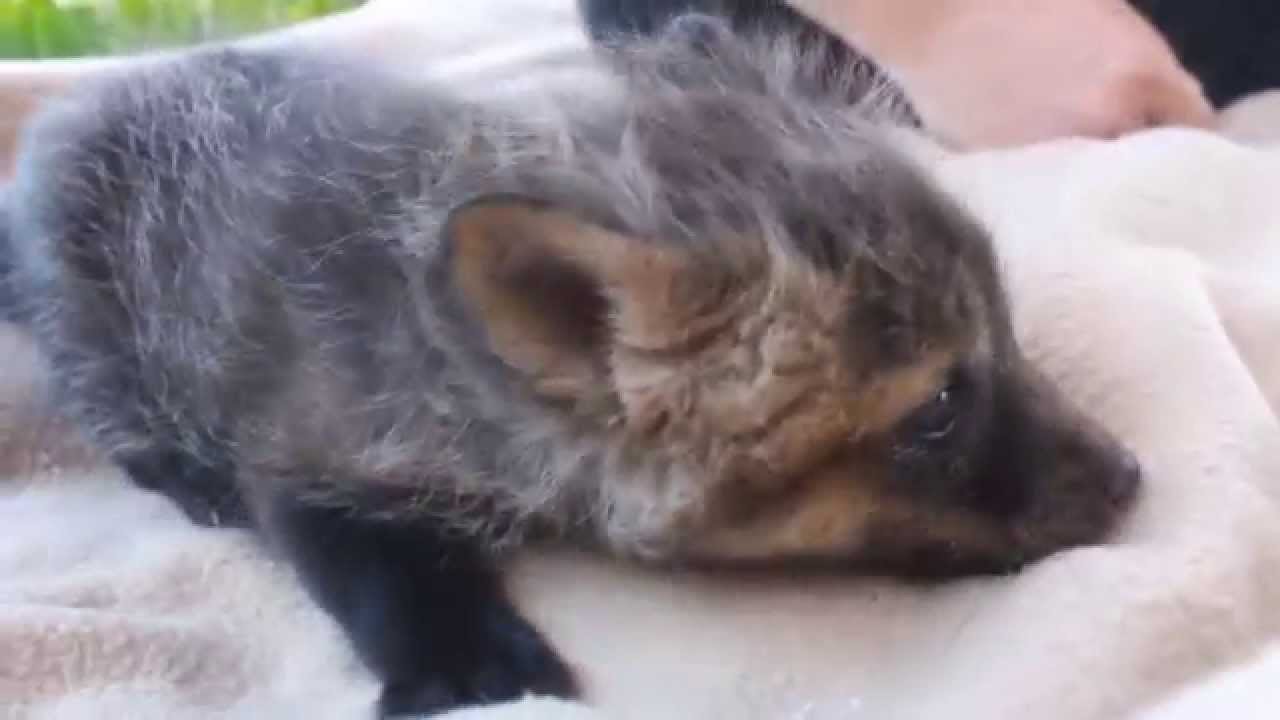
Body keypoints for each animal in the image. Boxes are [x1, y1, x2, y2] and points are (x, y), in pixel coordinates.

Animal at [0, 15, 1141, 718]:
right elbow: (382, 571)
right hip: (95, 326)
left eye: (1007, 338)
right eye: (937, 409)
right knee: (109, 410)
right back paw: (184, 475)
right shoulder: (309, 444)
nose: (1135, 479)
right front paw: (465, 665)